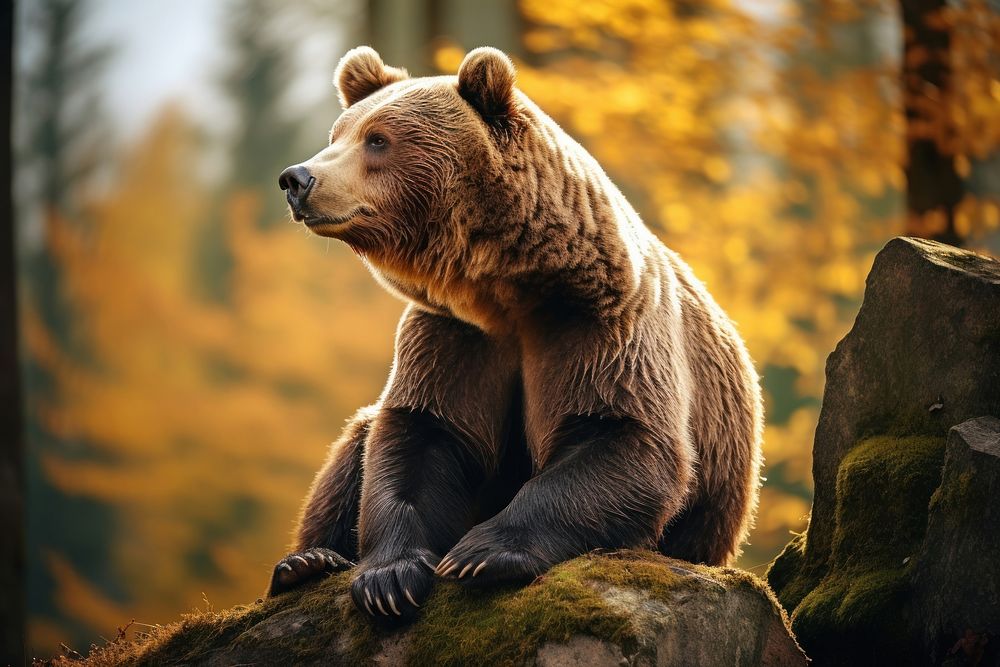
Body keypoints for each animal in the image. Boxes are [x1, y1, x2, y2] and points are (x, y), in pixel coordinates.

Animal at [268, 45, 764, 622]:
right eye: (338, 133)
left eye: (378, 139)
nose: (297, 178)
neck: (507, 289)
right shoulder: (455, 335)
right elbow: (421, 435)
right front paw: (388, 579)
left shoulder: (599, 326)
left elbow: (623, 436)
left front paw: (479, 554)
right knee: (355, 443)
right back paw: (307, 561)